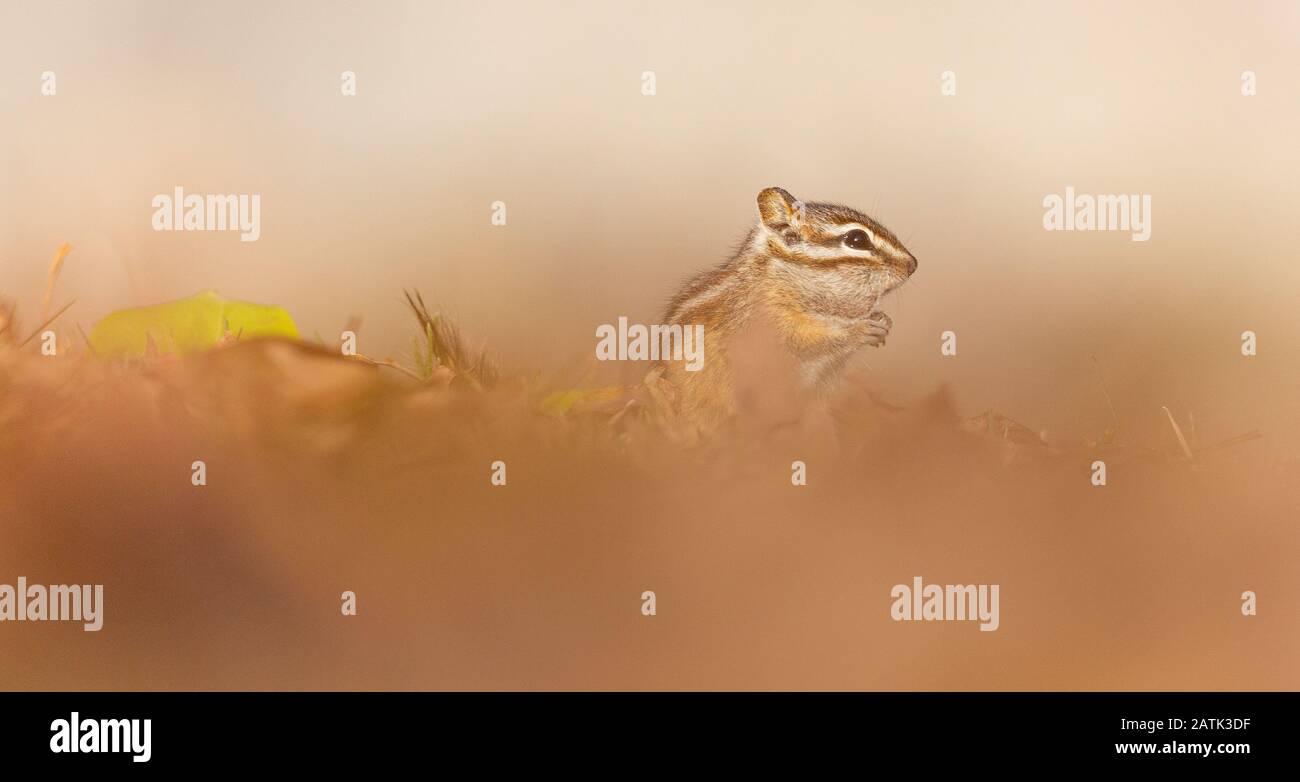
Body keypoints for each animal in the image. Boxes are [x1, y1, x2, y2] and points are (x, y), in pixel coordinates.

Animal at [655, 186, 917, 429]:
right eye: (857, 239)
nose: (913, 264)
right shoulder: (769, 323)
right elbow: (810, 340)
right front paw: (861, 329)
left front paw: (883, 319)